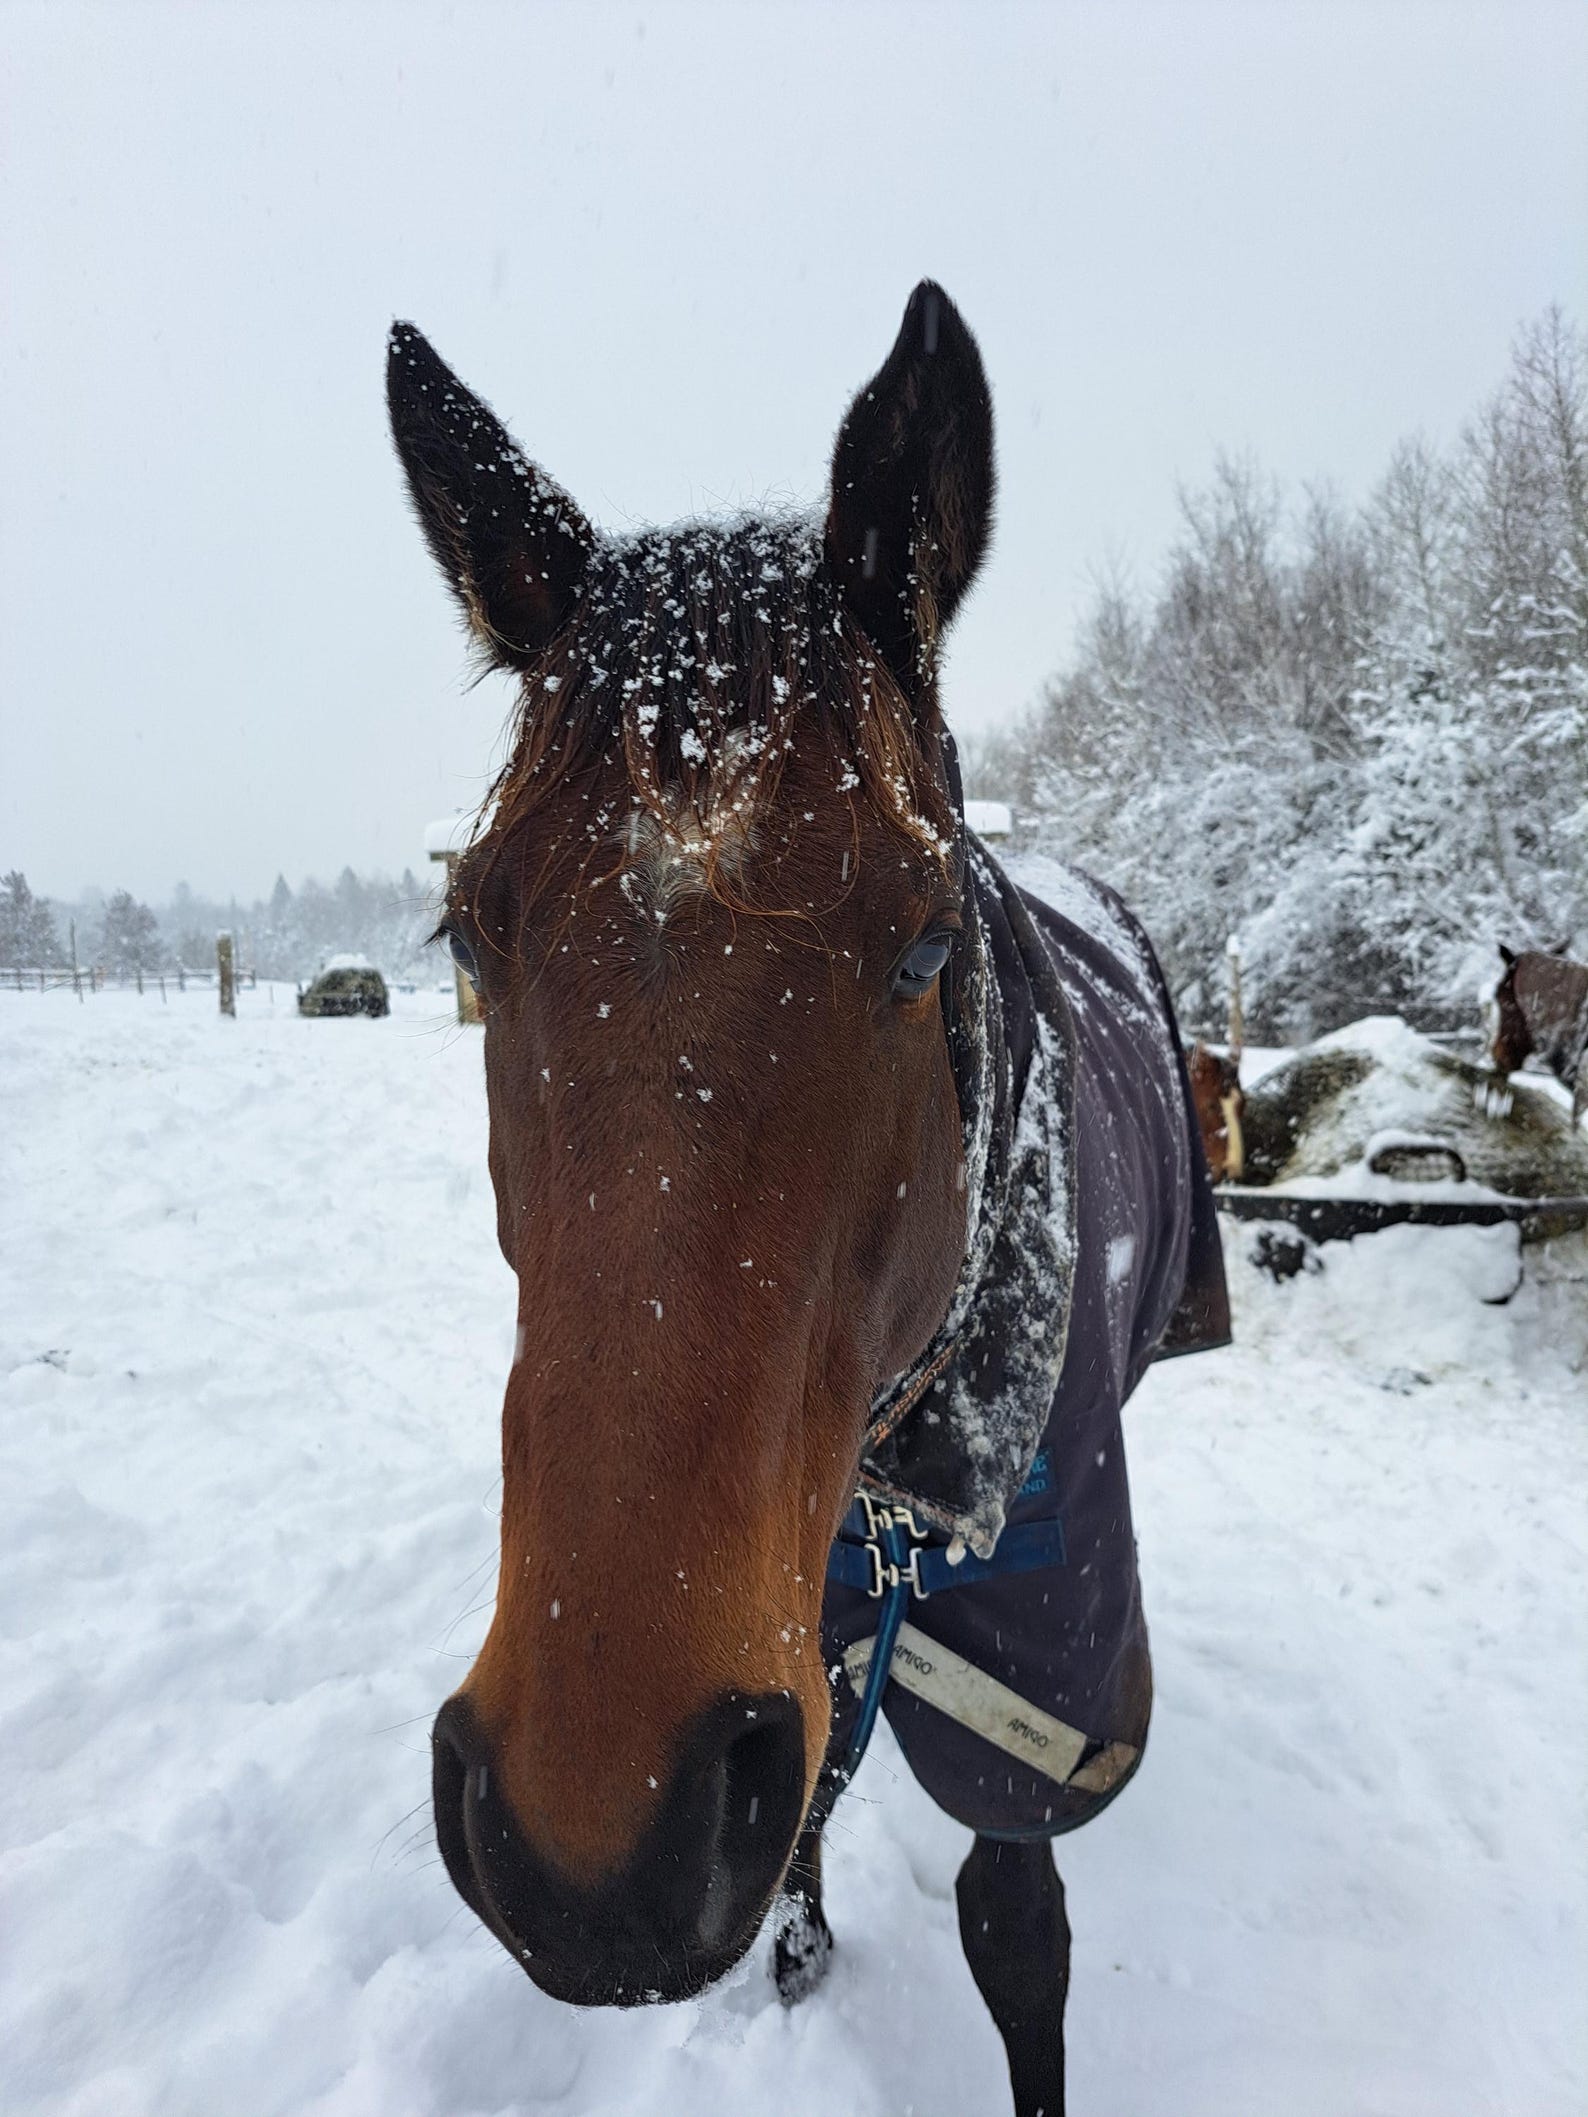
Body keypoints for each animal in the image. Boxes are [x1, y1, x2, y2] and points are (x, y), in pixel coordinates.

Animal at [388, 282, 1230, 2117]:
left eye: (918, 941)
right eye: (472, 931)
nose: (592, 1850)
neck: (891, 1483)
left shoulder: (1030, 1693)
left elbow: (1019, 1942)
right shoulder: (804, 1600)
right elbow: (811, 1788)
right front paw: (796, 1936)